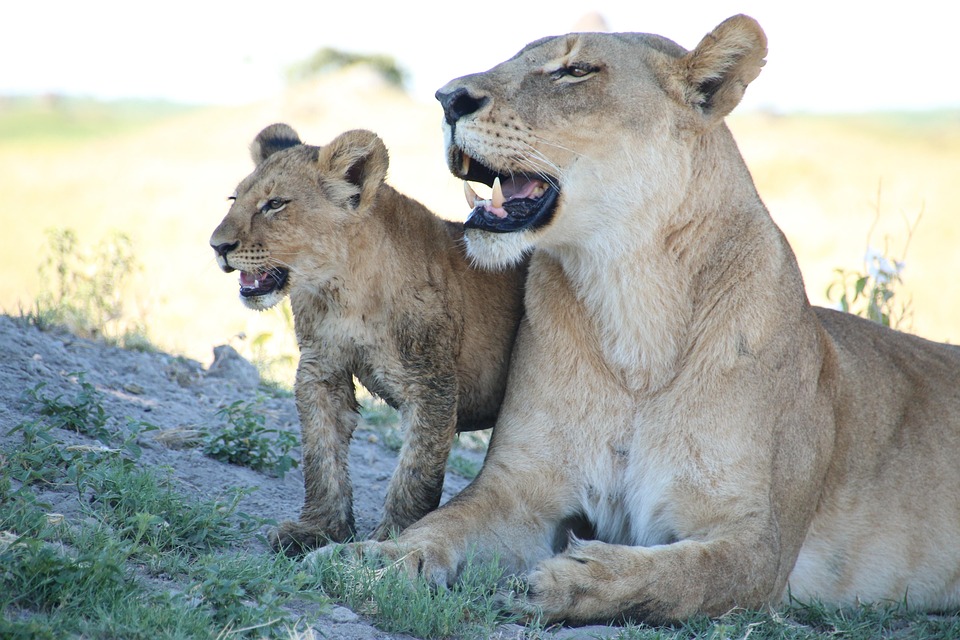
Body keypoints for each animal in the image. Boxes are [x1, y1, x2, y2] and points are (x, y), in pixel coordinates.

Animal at [209, 125, 526, 554]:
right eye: (234, 200)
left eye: (274, 204)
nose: (217, 246)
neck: (343, 289)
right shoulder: (320, 369)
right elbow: (321, 454)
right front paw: (319, 530)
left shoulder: (432, 384)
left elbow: (416, 471)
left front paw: (390, 539)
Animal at [319, 15, 960, 624]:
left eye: (574, 71)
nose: (447, 98)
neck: (633, 306)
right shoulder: (518, 486)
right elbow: (441, 524)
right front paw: (370, 559)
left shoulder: (760, 547)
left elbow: (681, 577)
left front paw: (568, 580)